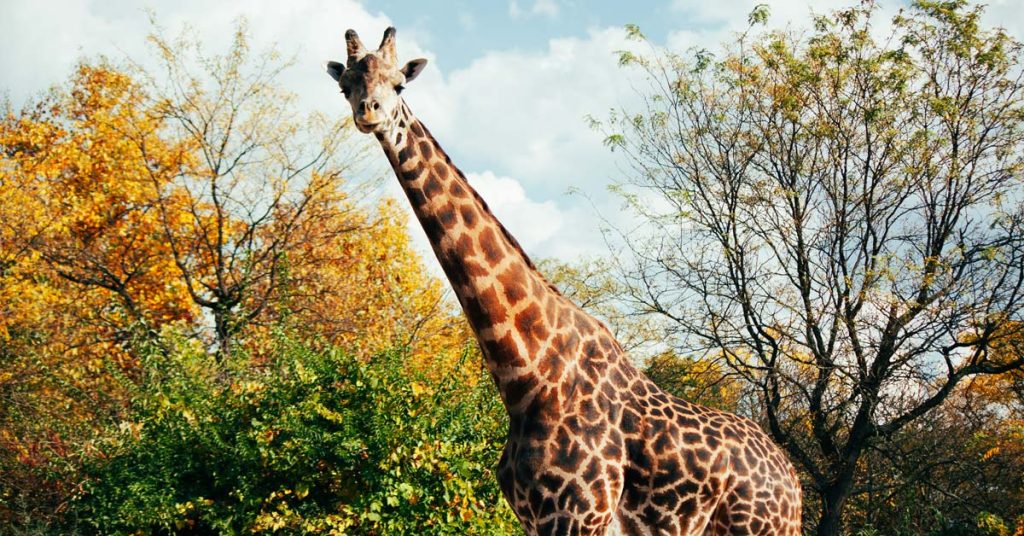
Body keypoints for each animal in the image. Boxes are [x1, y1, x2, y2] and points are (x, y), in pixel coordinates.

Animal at [326, 27, 802, 536]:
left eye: (399, 85)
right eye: (346, 86)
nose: (369, 111)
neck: (527, 375)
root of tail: (793, 482)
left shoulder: (577, 516)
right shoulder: (536, 519)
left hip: (759, 529)